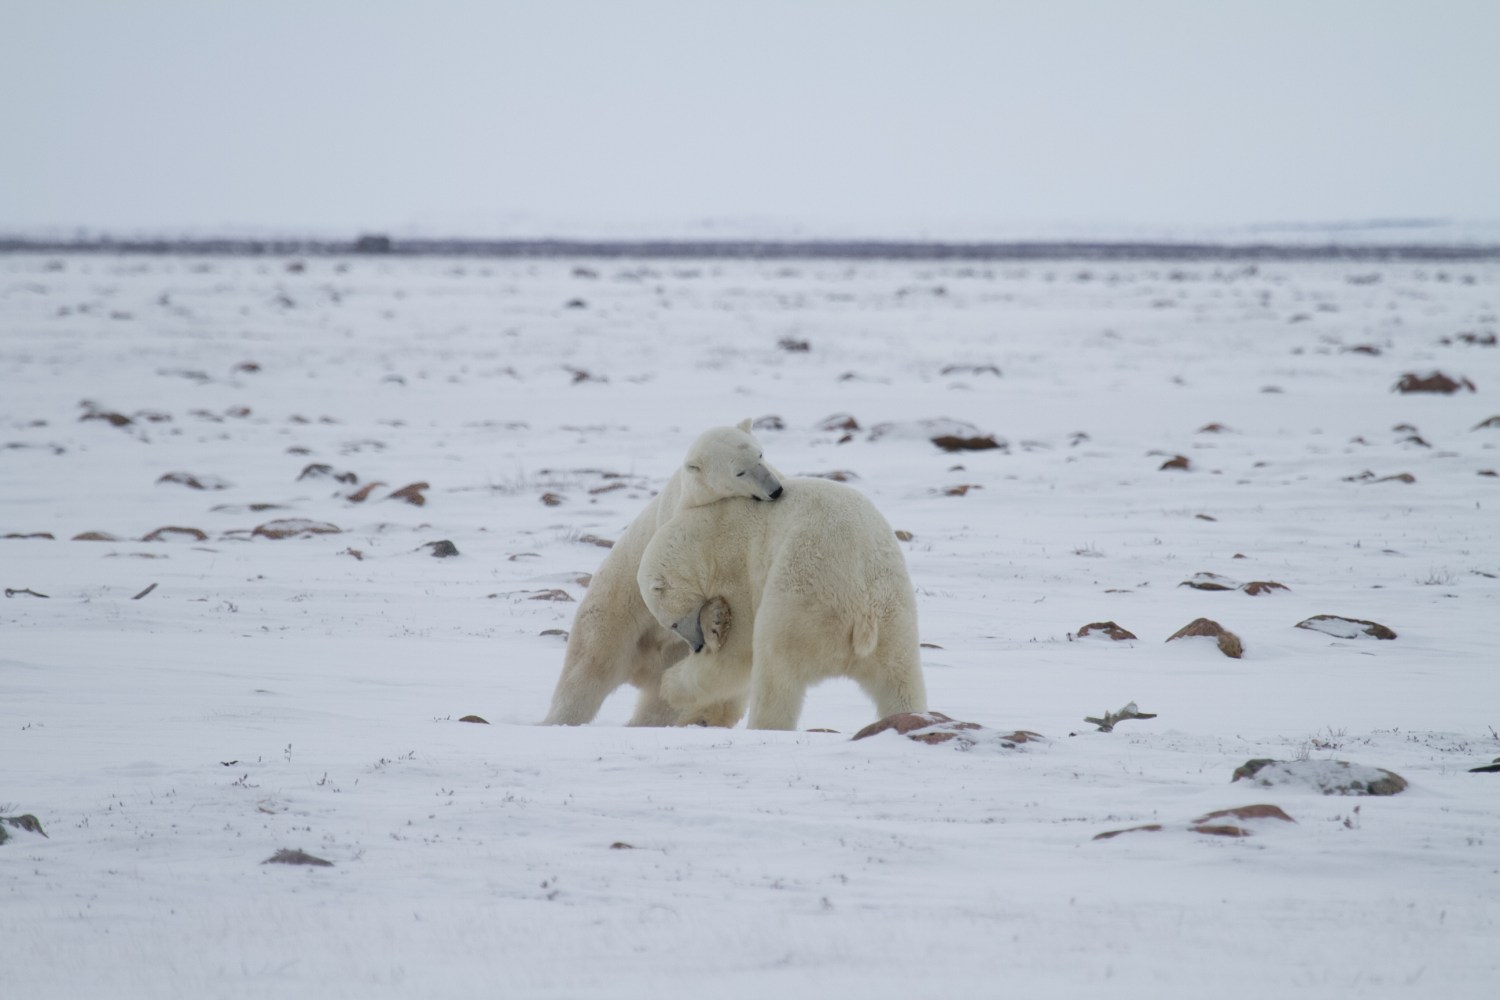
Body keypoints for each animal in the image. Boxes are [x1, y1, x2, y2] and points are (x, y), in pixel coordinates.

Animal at [541, 420, 784, 726]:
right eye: (739, 471)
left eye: (760, 455)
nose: (775, 490)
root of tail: (642, 665)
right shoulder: (679, 524)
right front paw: (715, 619)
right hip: (612, 614)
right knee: (587, 670)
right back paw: (561, 719)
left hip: (671, 655)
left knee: (672, 700)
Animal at [636, 477, 928, 730]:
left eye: (672, 624)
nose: (696, 646)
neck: (713, 530)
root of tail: (862, 613)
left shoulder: (738, 570)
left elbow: (735, 653)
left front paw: (669, 685)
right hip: (894, 618)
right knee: (900, 681)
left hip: (800, 603)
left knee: (774, 672)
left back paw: (763, 726)